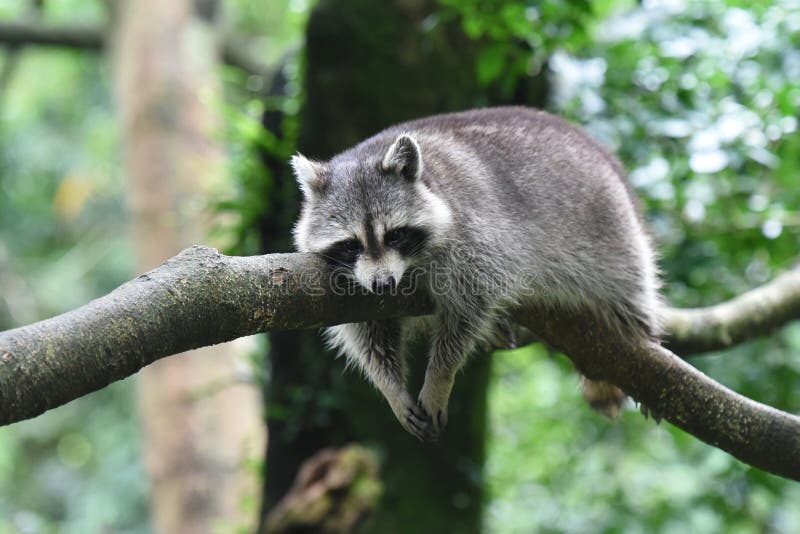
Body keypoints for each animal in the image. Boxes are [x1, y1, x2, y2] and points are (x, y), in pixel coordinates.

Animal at [292, 107, 661, 441]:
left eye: (395, 235)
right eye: (351, 244)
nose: (383, 285)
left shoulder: (475, 237)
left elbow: (470, 308)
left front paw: (440, 376)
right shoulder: (355, 290)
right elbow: (368, 336)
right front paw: (390, 387)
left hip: (613, 236)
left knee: (630, 295)